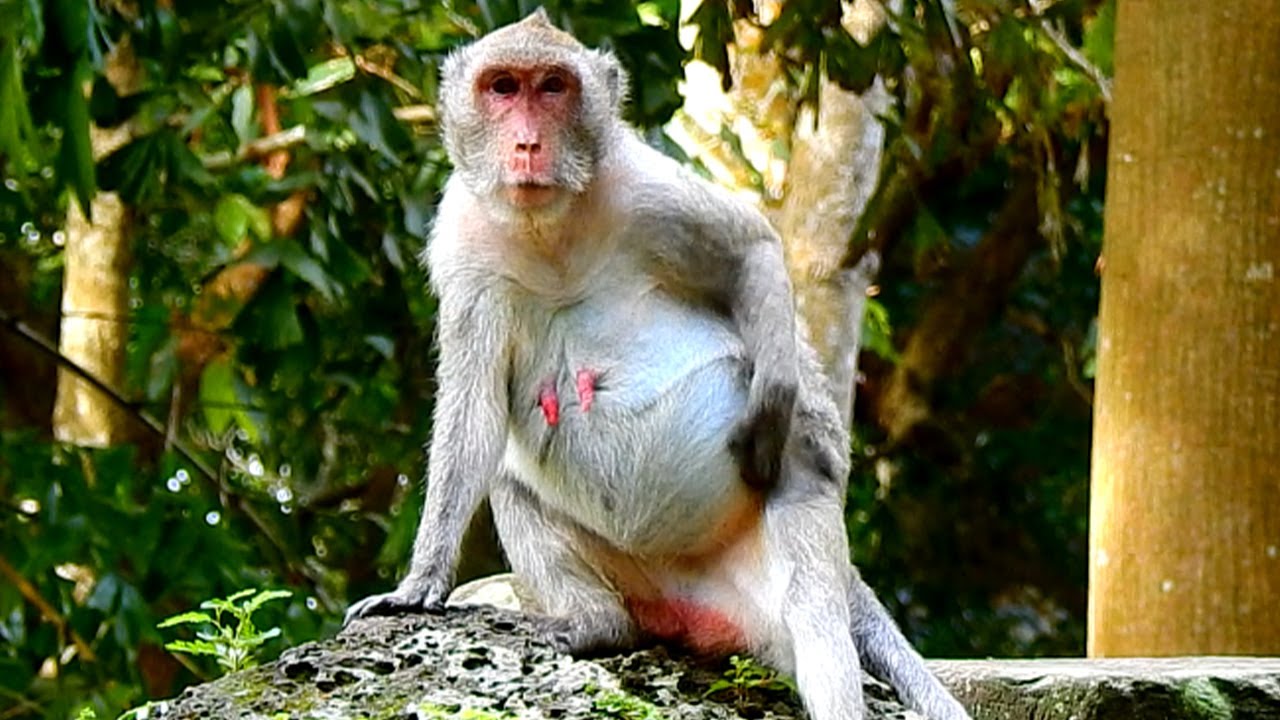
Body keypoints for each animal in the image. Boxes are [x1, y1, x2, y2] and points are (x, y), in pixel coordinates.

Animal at [345, 10, 969, 720]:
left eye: (553, 87)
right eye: (502, 87)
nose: (527, 144)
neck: (549, 229)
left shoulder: (644, 185)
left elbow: (750, 247)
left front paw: (774, 402)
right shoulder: (463, 244)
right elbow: (473, 416)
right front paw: (420, 584)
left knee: (813, 599)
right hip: (645, 585)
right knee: (508, 479)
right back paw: (600, 626)